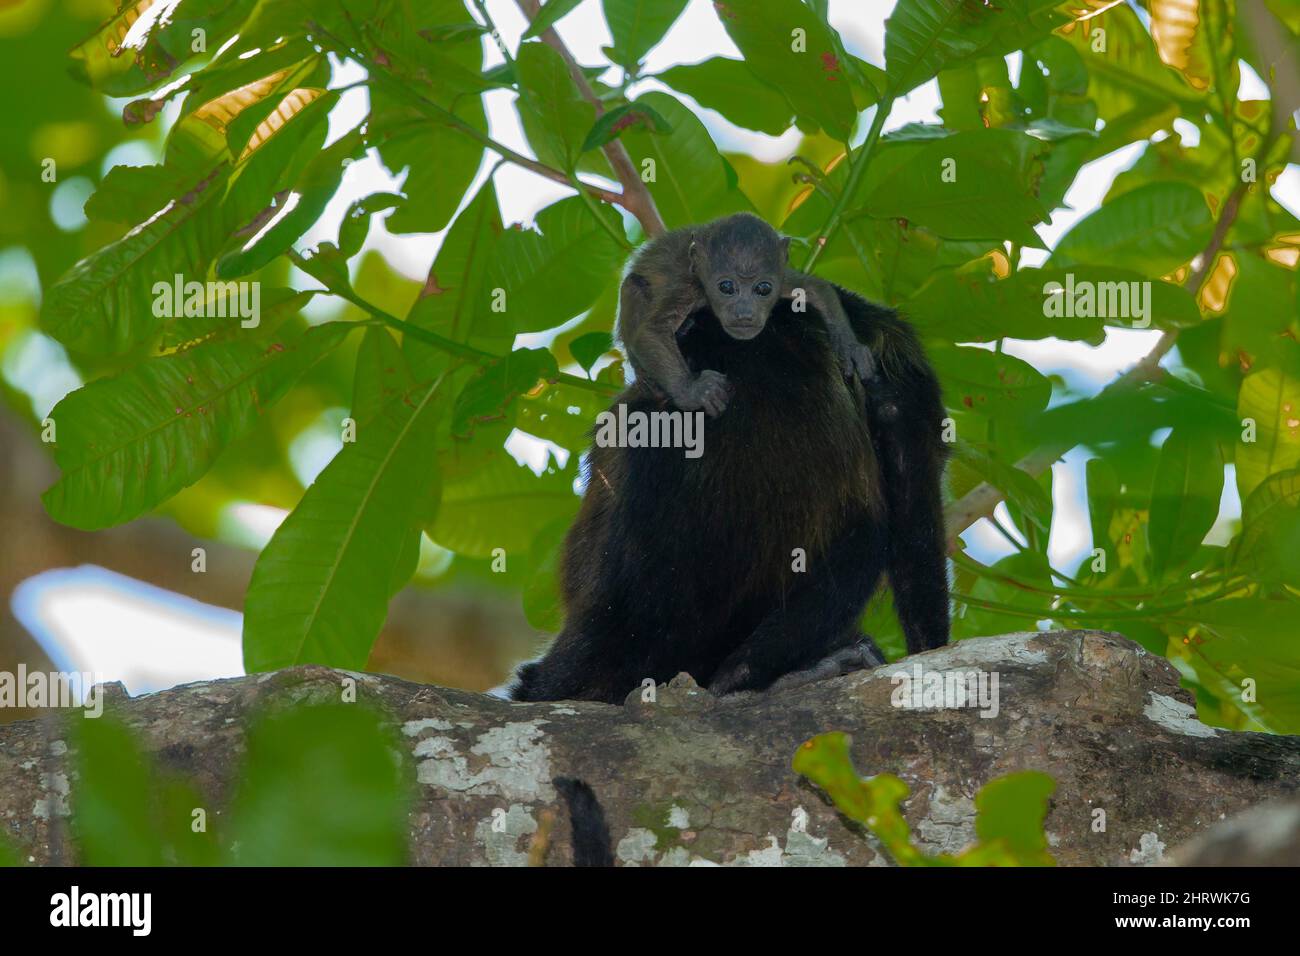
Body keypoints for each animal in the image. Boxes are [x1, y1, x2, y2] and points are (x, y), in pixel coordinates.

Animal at [618, 212, 876, 417]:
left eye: (763, 289)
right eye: (726, 287)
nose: (745, 314)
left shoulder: (780, 277)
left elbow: (816, 289)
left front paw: (850, 348)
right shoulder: (687, 284)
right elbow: (652, 330)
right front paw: (693, 391)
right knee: (633, 286)